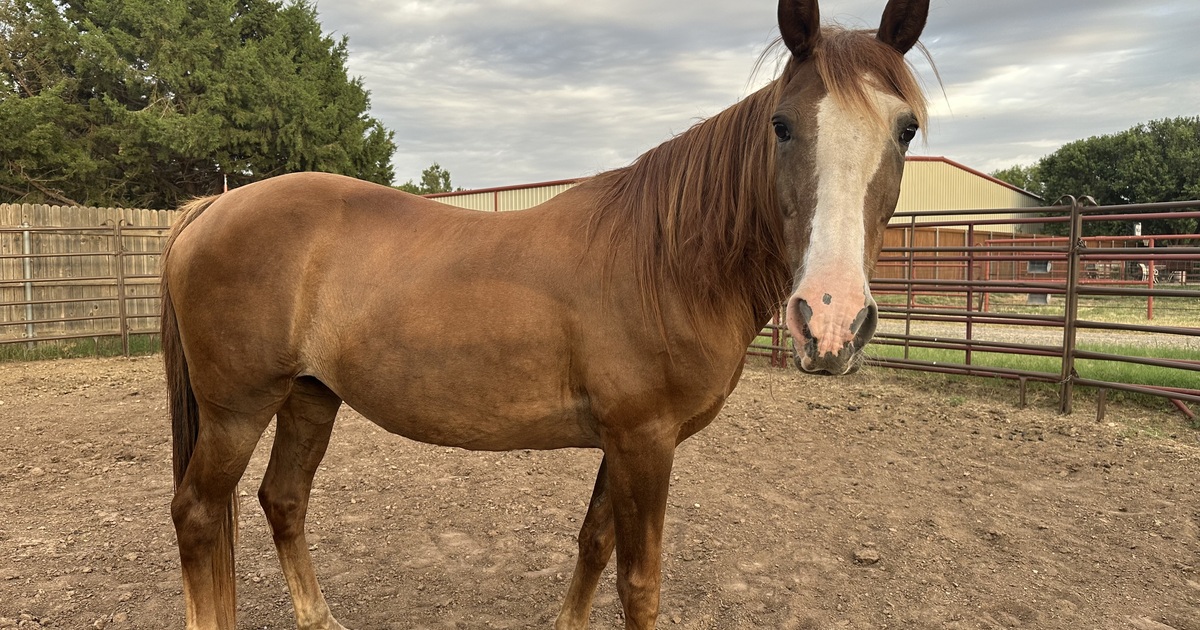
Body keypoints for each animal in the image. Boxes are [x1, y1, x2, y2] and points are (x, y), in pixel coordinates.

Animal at [160, 0, 931, 627]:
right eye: (782, 126)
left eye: (906, 130)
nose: (830, 318)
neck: (665, 263)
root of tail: (212, 206)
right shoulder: (645, 442)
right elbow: (639, 584)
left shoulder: (626, 442)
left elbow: (593, 544)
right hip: (238, 410)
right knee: (196, 515)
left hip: (310, 396)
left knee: (283, 500)